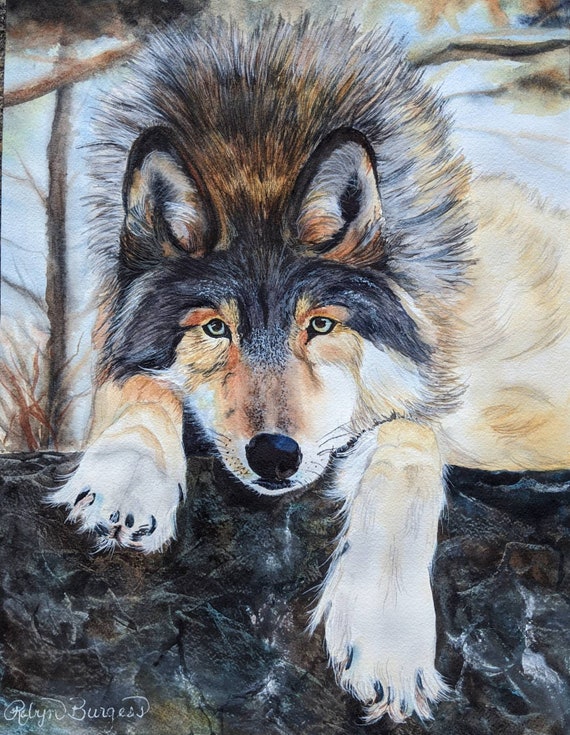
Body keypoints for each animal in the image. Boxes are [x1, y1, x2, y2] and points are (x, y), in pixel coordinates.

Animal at [51, 15, 570, 723]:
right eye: (215, 328)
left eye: (320, 326)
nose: (275, 455)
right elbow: (143, 388)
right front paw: (126, 480)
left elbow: (409, 438)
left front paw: (385, 636)